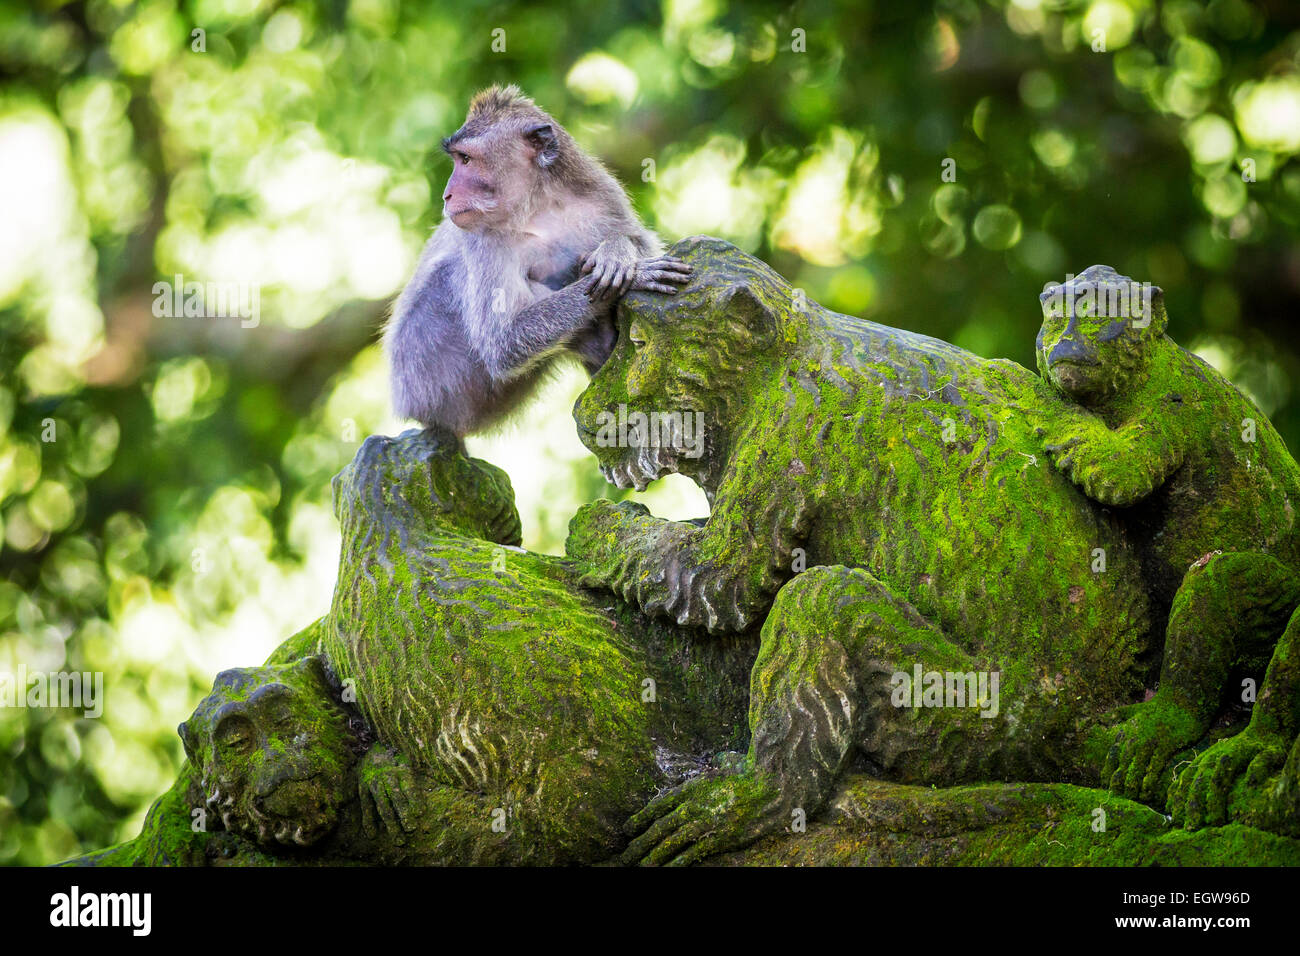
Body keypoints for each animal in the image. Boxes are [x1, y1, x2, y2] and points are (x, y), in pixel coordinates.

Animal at [384, 84, 692, 438]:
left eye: (465, 159)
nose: (447, 195)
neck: (537, 206)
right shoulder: (482, 238)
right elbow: (502, 341)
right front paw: (637, 273)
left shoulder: (600, 192)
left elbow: (640, 239)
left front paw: (617, 252)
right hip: (433, 376)